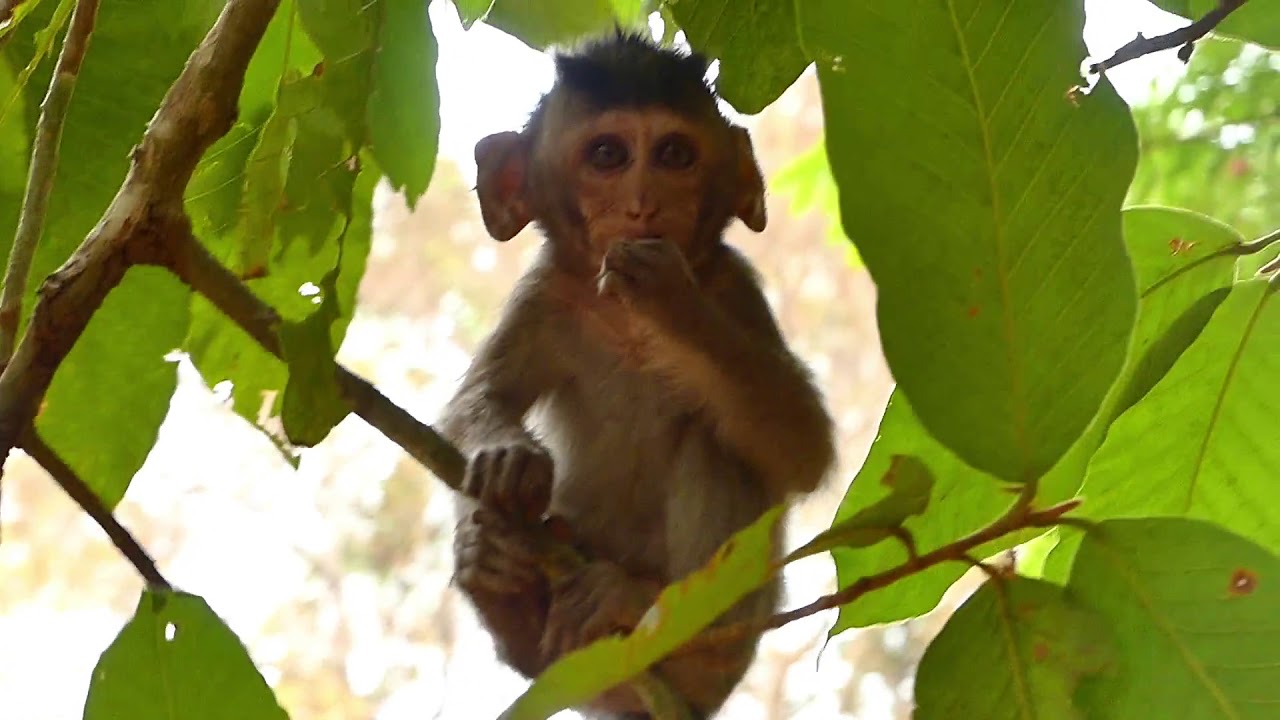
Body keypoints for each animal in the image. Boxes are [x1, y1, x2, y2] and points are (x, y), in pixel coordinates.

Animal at [440, 33, 837, 719]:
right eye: (608, 155)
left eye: (675, 154)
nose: (643, 204)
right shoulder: (544, 294)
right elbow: (477, 400)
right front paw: (508, 457)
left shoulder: (733, 287)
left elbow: (803, 447)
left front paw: (668, 298)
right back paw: (499, 578)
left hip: (738, 629)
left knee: (717, 443)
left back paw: (644, 608)